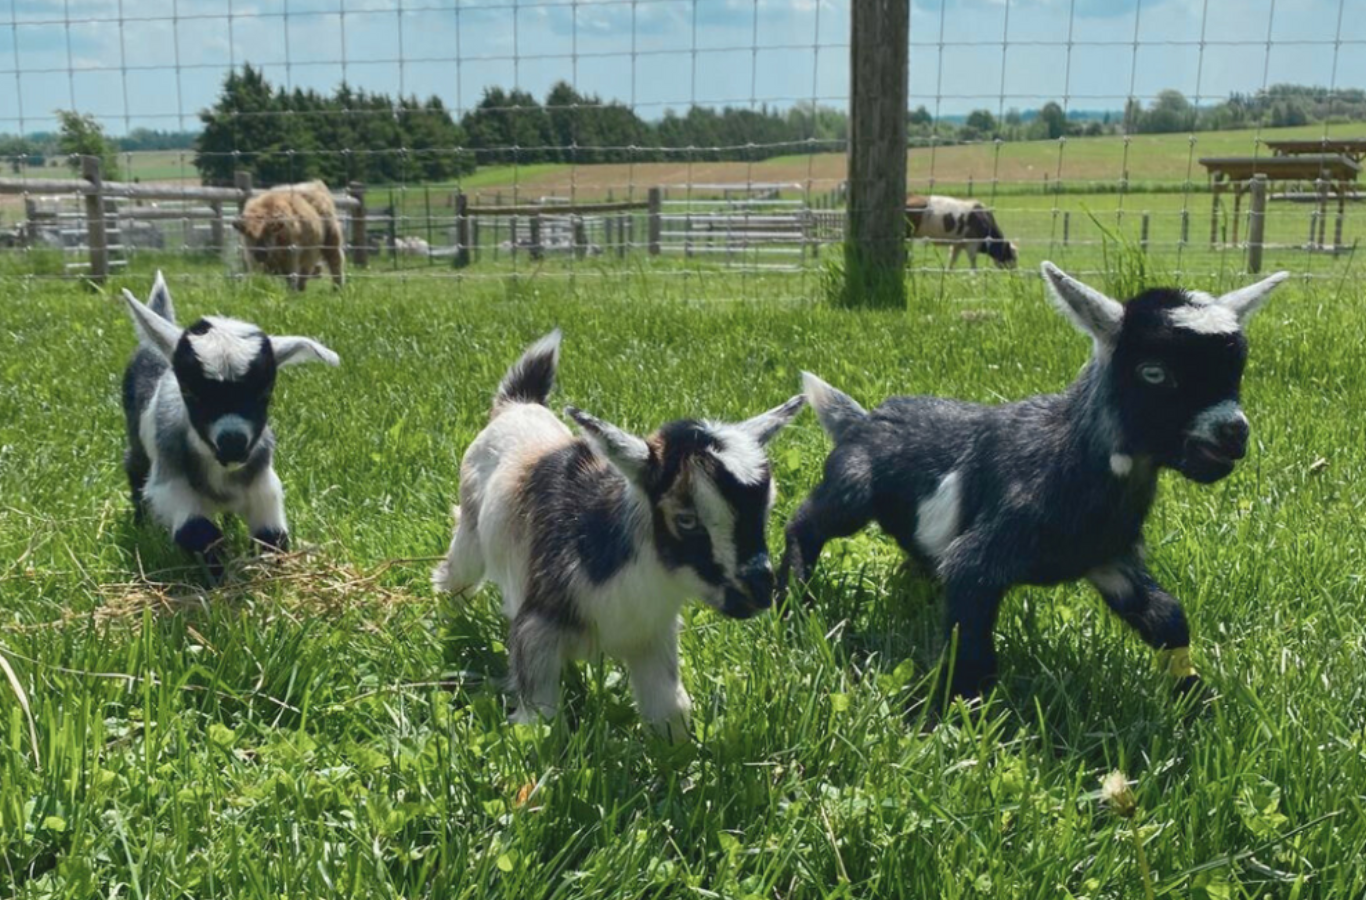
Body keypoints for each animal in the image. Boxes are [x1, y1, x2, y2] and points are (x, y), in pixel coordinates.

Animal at [120, 271, 340, 578]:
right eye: (189, 391)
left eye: (265, 391)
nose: (233, 444)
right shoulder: (171, 482)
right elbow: (199, 533)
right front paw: (219, 577)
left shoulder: (262, 483)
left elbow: (271, 536)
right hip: (137, 444)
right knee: (135, 471)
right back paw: (141, 525)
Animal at [432, 331, 804, 739]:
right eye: (686, 519)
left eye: (766, 509)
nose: (759, 592)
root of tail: (517, 404)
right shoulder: (536, 633)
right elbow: (542, 724)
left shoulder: (652, 638)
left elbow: (669, 710)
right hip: (470, 528)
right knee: (456, 575)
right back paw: (452, 623)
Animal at [779, 262, 1287, 701]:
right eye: (1155, 372)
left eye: (1238, 368)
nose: (1233, 434)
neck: (1067, 455)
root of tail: (860, 420)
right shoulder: (982, 562)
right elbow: (975, 654)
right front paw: (943, 719)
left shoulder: (1110, 558)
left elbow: (1168, 619)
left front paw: (1195, 700)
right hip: (851, 484)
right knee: (806, 523)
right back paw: (794, 599)